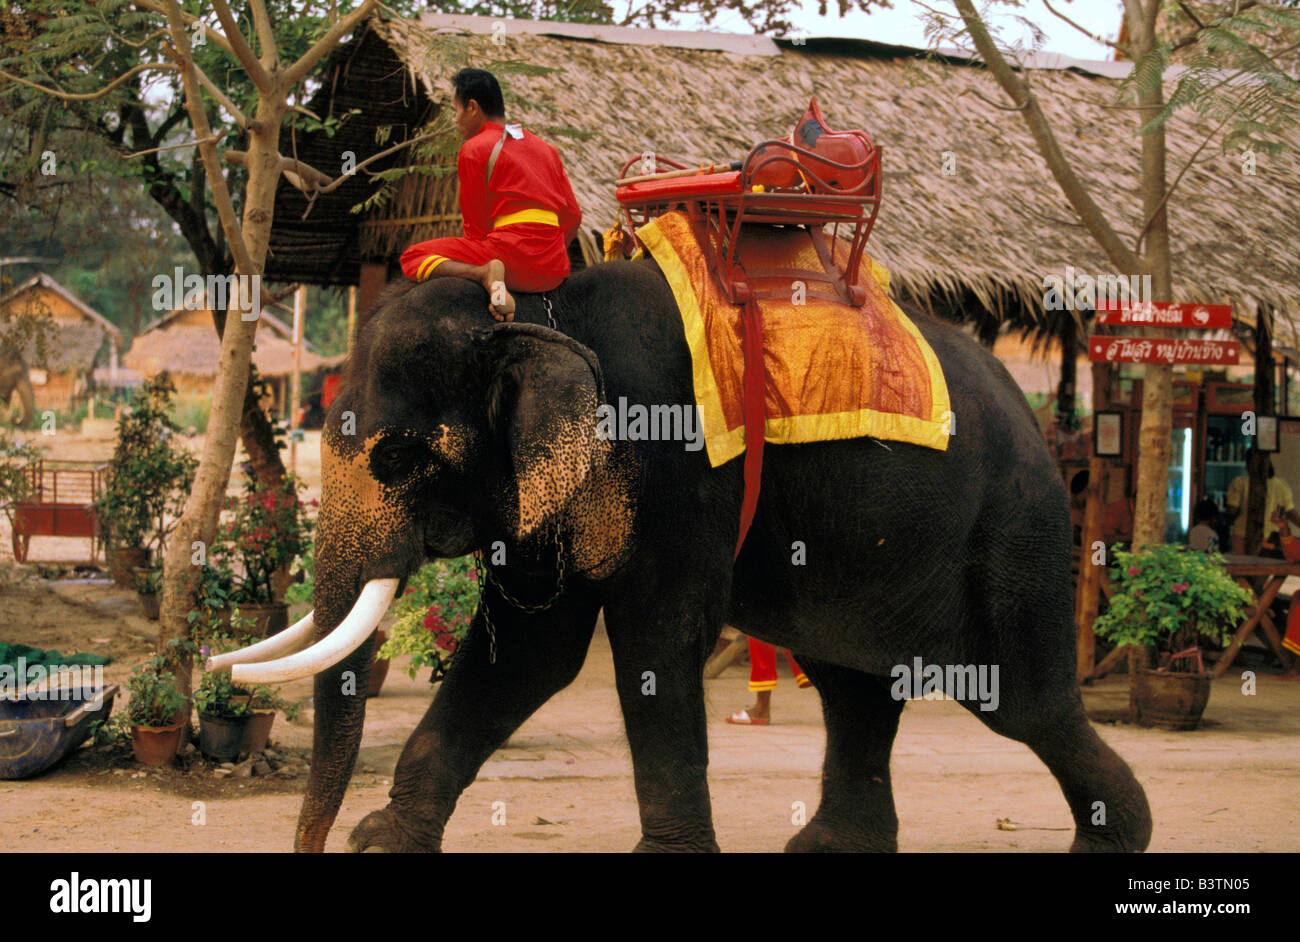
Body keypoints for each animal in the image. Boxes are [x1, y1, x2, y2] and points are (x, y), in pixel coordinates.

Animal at [213, 259, 1153, 853]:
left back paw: (1114, 841)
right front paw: (383, 844)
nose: (311, 847)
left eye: (402, 459)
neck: (543, 310)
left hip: (1016, 531)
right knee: (854, 689)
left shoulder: (682, 464)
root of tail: (1034, 419)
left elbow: (656, 645)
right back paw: (825, 849)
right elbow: (529, 653)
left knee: (1019, 702)